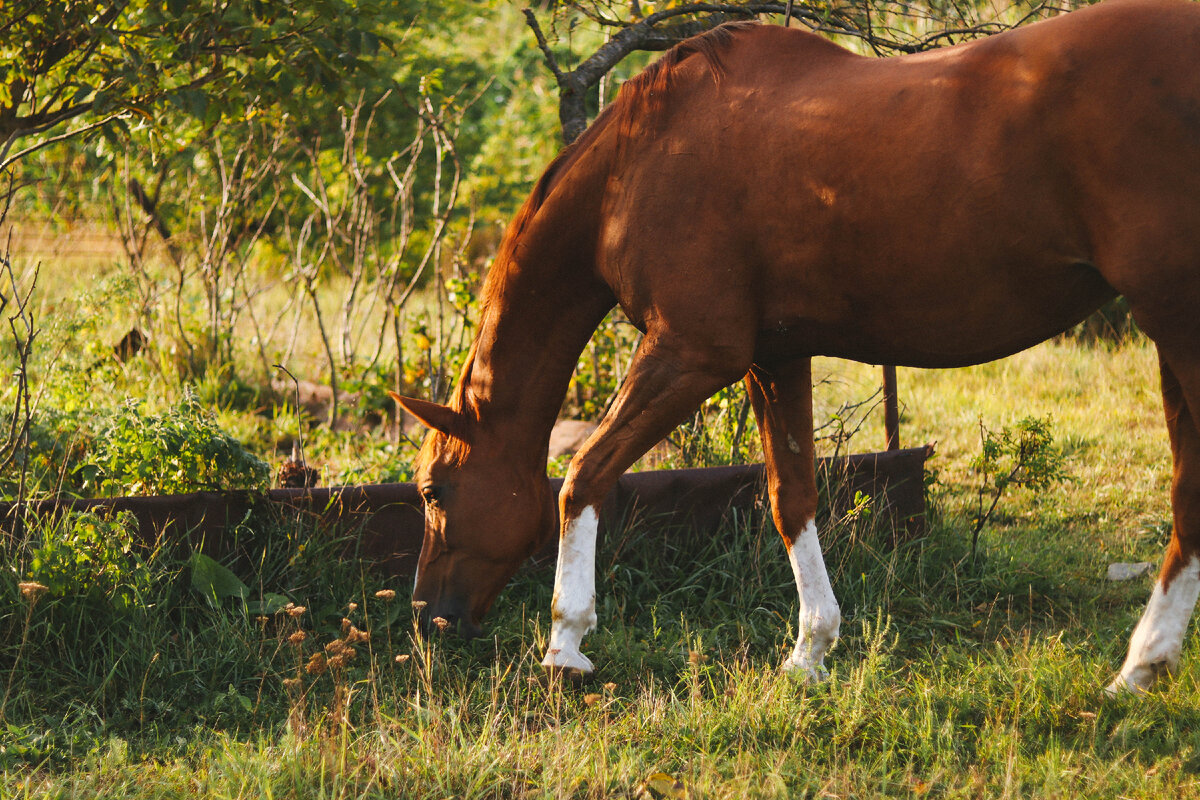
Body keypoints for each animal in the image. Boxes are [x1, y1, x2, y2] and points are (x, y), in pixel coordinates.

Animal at [393, 0, 1200, 690]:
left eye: (434, 490)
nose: (428, 616)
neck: (641, 158)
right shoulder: (772, 357)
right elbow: (793, 496)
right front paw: (811, 649)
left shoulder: (692, 352)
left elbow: (584, 474)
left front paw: (565, 642)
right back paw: (1145, 667)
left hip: (1176, 321)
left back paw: (1138, 666)